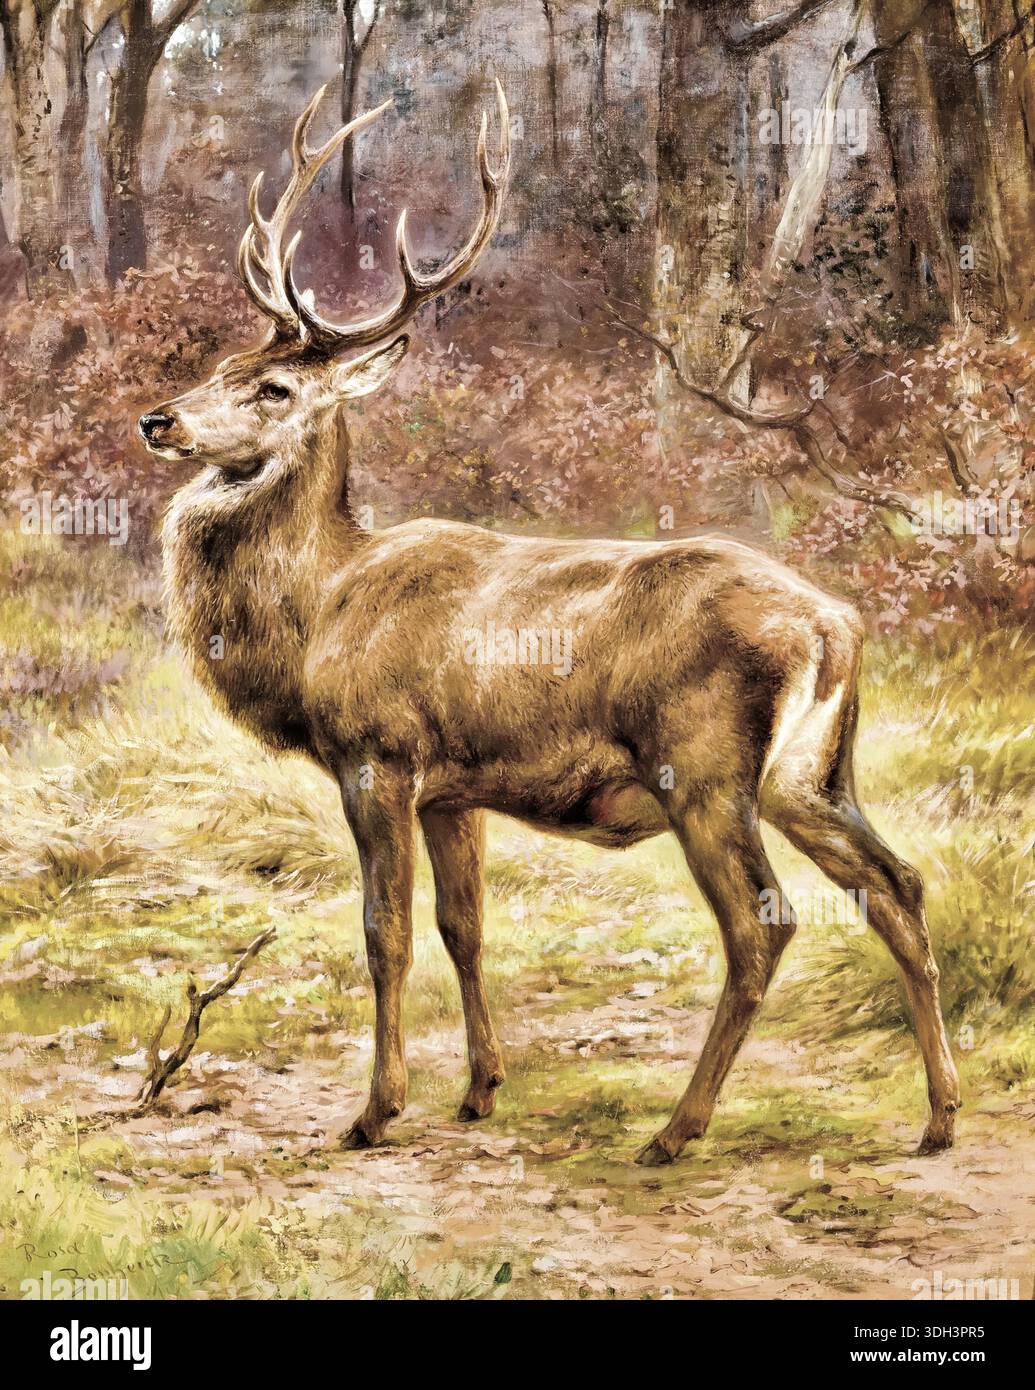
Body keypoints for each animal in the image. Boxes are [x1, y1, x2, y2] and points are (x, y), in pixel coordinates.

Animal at [139, 84, 960, 1164]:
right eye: (223, 362)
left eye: (272, 386)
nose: (158, 419)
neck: (321, 608)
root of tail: (833, 626)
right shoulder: (451, 790)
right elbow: (465, 928)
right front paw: (480, 1089)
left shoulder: (376, 753)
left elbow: (384, 933)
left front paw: (374, 1111)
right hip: (813, 773)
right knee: (898, 887)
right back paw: (939, 1116)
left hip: (703, 764)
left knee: (763, 924)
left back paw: (675, 1130)